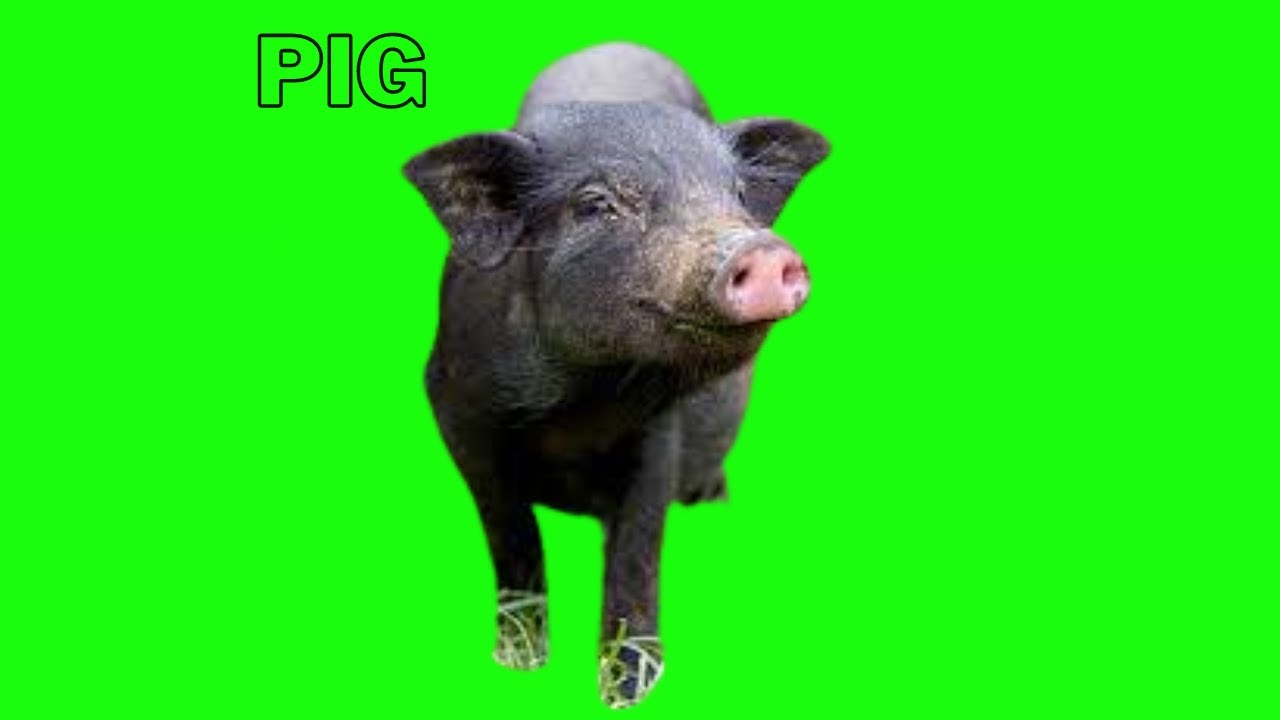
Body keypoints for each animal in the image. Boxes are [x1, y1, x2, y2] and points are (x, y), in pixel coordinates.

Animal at [404, 42, 829, 708]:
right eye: (596, 204)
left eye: (736, 194)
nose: (760, 250)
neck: (579, 402)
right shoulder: (454, 406)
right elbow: (510, 531)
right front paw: (519, 666)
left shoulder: (660, 430)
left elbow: (637, 546)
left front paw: (630, 693)